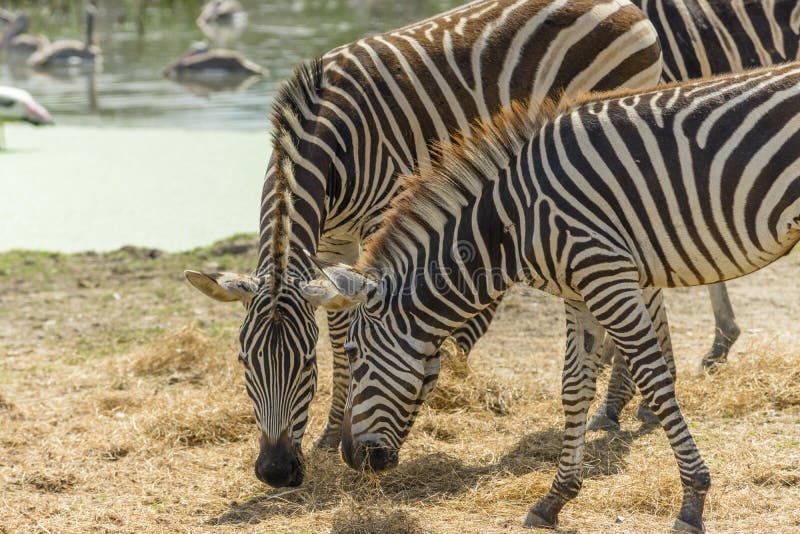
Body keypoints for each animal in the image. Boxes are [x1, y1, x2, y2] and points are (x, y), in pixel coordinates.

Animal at [183, 0, 664, 488]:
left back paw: (621, 406)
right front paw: (330, 433)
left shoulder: (381, 218)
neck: (331, 143)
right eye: (244, 362)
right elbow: (338, 332)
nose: (277, 471)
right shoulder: (331, 240)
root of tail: (621, 6)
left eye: (304, 365)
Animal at [308, 62, 800, 532]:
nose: (351, 458)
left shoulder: (605, 272)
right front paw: (554, 499)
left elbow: (655, 381)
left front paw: (693, 500)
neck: (511, 220)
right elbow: (573, 387)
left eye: (353, 353)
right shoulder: (579, 291)